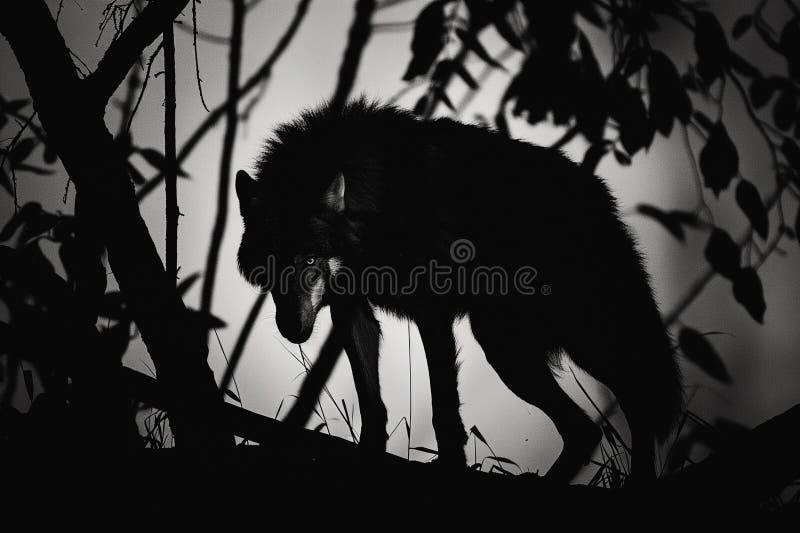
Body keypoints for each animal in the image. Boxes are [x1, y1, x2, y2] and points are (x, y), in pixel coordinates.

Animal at [236, 98, 683, 481]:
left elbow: (443, 408)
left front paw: (450, 465)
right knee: (586, 429)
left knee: (634, 401)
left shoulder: (431, 311)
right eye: (272, 264)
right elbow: (371, 402)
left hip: (550, 342)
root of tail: (601, 196)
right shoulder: (352, 311)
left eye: (310, 260)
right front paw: (368, 456)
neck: (377, 208)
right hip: (510, 347)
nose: (293, 329)